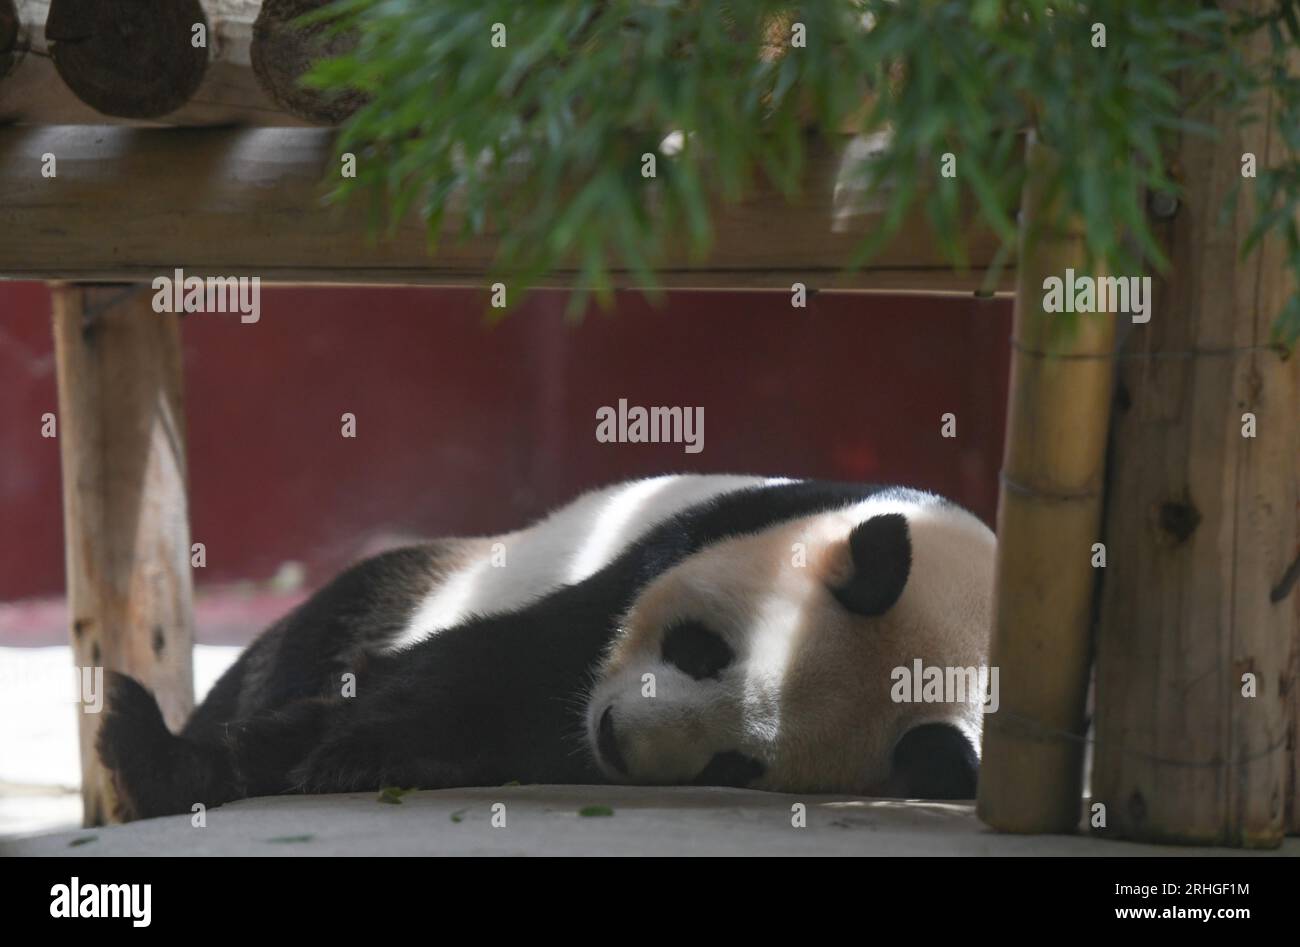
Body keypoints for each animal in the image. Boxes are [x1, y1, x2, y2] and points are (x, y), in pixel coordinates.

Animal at [98, 474, 995, 821]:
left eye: (737, 764)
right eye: (704, 651)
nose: (615, 738)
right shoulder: (700, 536)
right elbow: (491, 669)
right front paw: (336, 751)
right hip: (406, 583)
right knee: (296, 653)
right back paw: (149, 745)